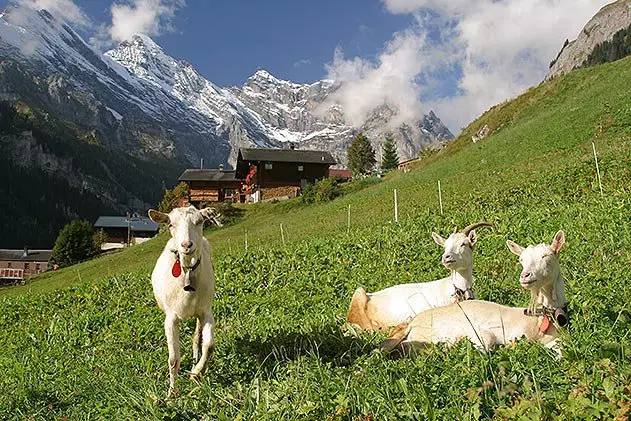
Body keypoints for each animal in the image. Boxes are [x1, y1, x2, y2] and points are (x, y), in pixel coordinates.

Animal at [149, 205, 222, 396]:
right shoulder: (170, 318)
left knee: (197, 337)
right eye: (171, 224)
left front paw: (196, 373)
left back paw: (196, 361)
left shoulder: (206, 310)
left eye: (199, 221)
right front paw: (171, 393)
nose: (186, 245)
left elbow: (209, 344)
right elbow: (173, 359)